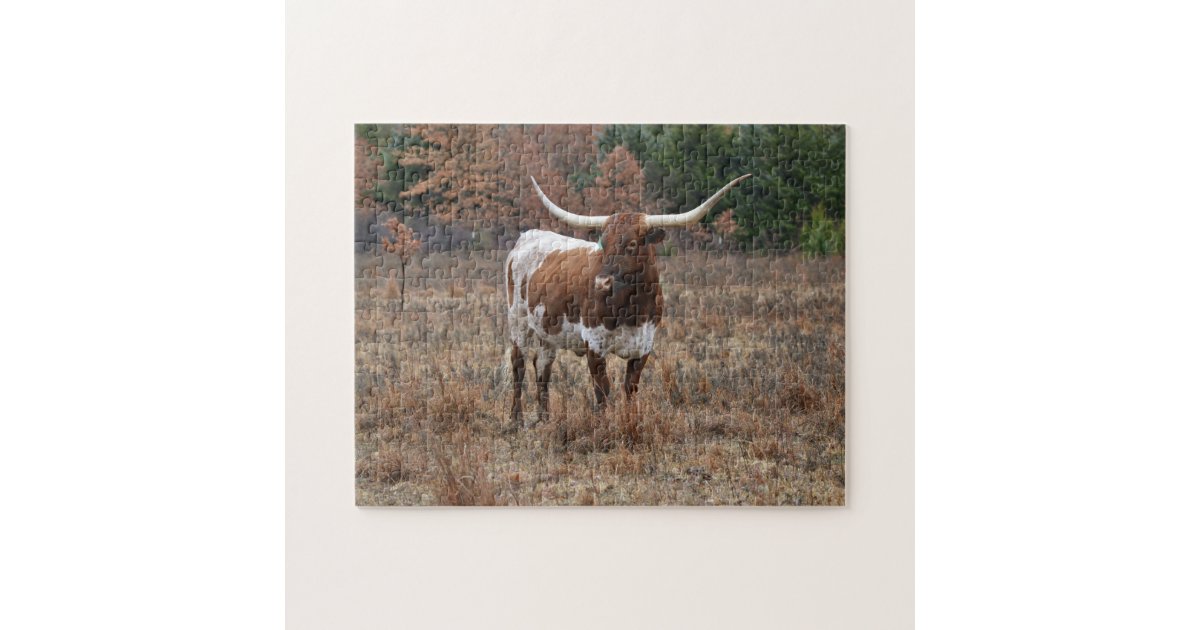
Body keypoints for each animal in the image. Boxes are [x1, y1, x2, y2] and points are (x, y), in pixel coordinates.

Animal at [504, 173, 751, 428]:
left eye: (632, 244)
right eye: (604, 244)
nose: (601, 282)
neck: (632, 307)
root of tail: (529, 235)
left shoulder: (644, 346)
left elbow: (630, 388)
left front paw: (632, 421)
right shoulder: (594, 345)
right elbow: (602, 391)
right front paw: (604, 425)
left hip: (547, 330)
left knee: (542, 366)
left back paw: (545, 419)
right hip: (518, 322)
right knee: (518, 365)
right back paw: (516, 418)